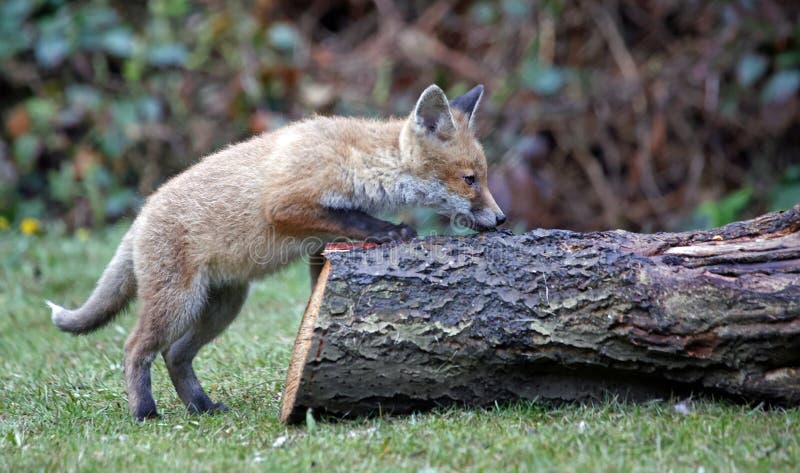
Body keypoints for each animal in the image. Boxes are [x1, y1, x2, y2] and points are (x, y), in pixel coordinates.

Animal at [48, 84, 506, 420]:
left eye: (482, 178)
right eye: (470, 179)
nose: (501, 219)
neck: (359, 156)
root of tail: (141, 214)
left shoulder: (317, 245)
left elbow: (322, 271)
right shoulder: (287, 203)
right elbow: (354, 218)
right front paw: (391, 232)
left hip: (222, 307)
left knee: (174, 355)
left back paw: (201, 406)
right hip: (178, 304)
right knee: (135, 349)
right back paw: (144, 412)